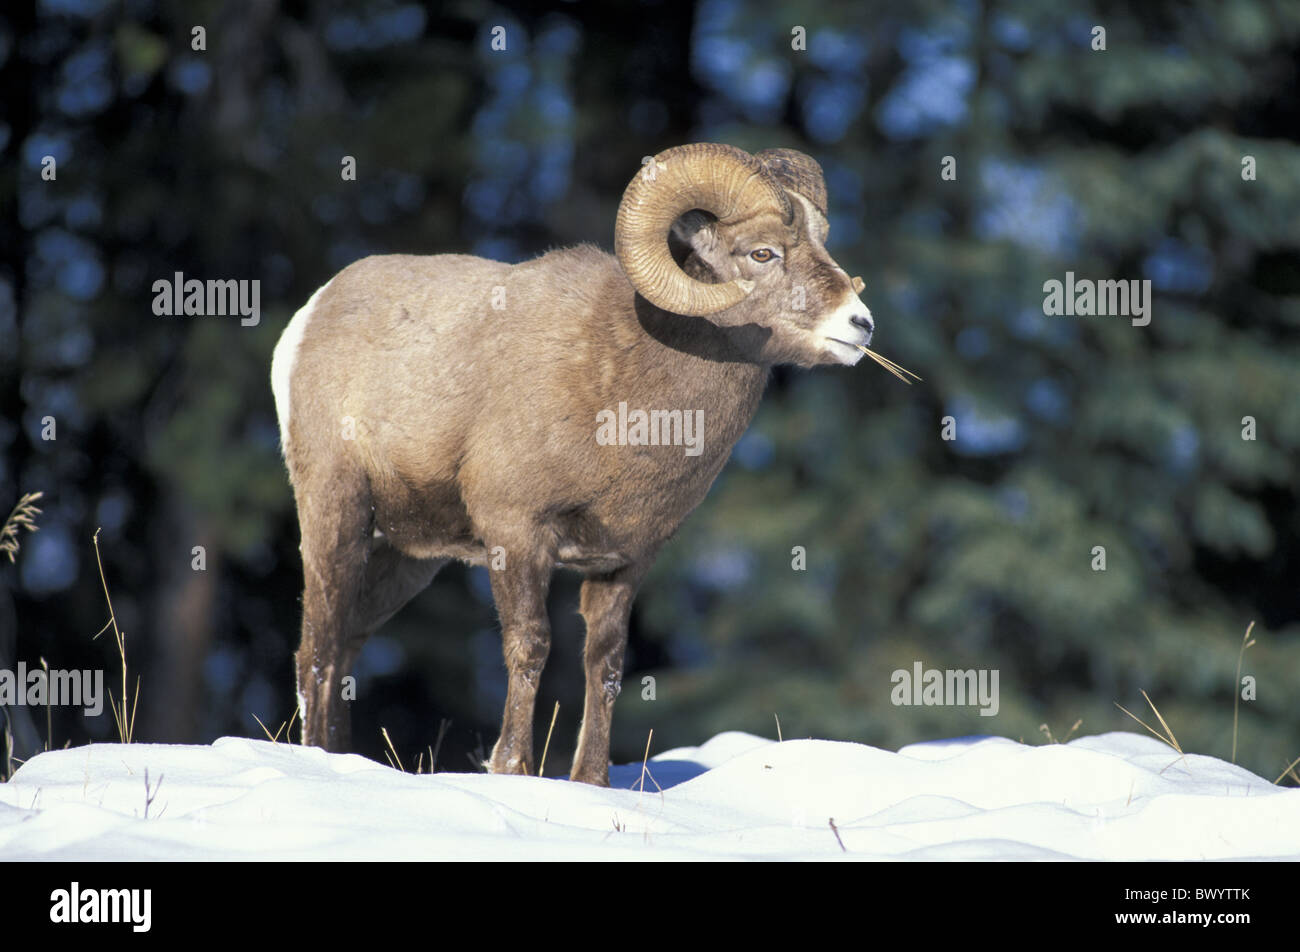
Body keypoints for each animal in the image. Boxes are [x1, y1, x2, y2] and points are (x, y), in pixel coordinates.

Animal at [271, 142, 875, 785]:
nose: (860, 325)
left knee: (348, 646)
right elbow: (530, 646)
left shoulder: (625, 561)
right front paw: (511, 767)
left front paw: (592, 781)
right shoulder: (516, 534)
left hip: (406, 557)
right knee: (319, 647)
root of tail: (309, 319)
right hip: (337, 513)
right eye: (762, 252)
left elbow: (604, 665)